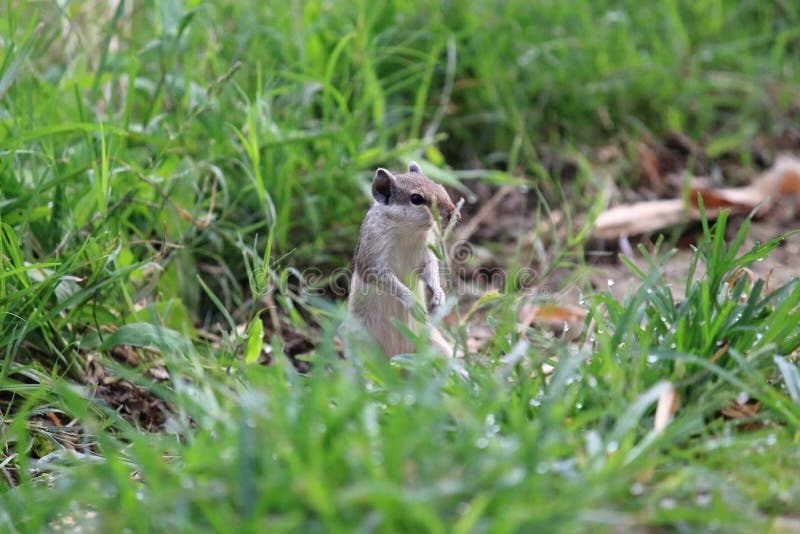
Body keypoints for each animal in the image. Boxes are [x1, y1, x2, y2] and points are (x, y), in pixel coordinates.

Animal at [346, 161, 458, 357]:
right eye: (416, 198)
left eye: (440, 187)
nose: (454, 214)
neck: (408, 231)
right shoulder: (373, 257)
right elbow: (383, 278)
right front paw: (412, 301)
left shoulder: (425, 254)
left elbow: (431, 269)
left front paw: (439, 295)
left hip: (435, 345)